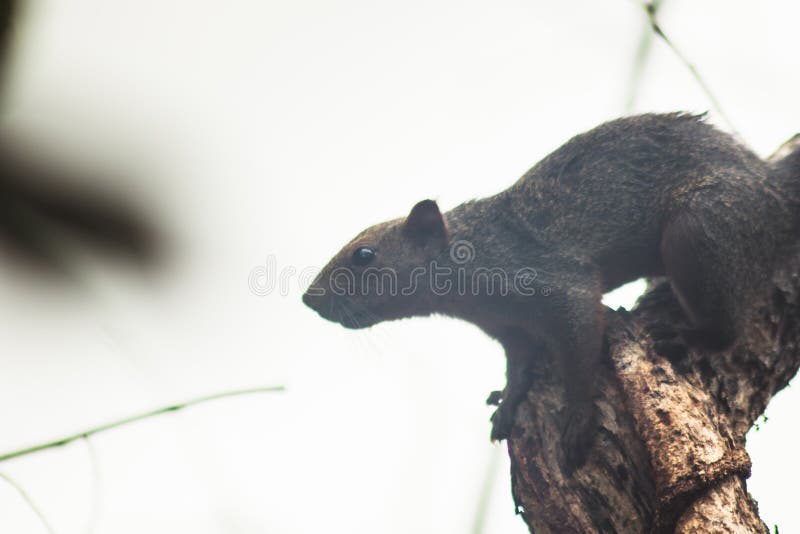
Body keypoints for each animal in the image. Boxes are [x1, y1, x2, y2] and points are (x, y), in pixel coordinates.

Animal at [302, 112, 800, 471]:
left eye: (365, 255)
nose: (309, 299)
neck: (476, 260)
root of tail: (773, 190)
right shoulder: (508, 329)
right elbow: (519, 365)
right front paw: (507, 402)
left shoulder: (562, 288)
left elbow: (579, 356)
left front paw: (577, 421)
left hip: (698, 228)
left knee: (727, 330)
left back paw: (685, 336)